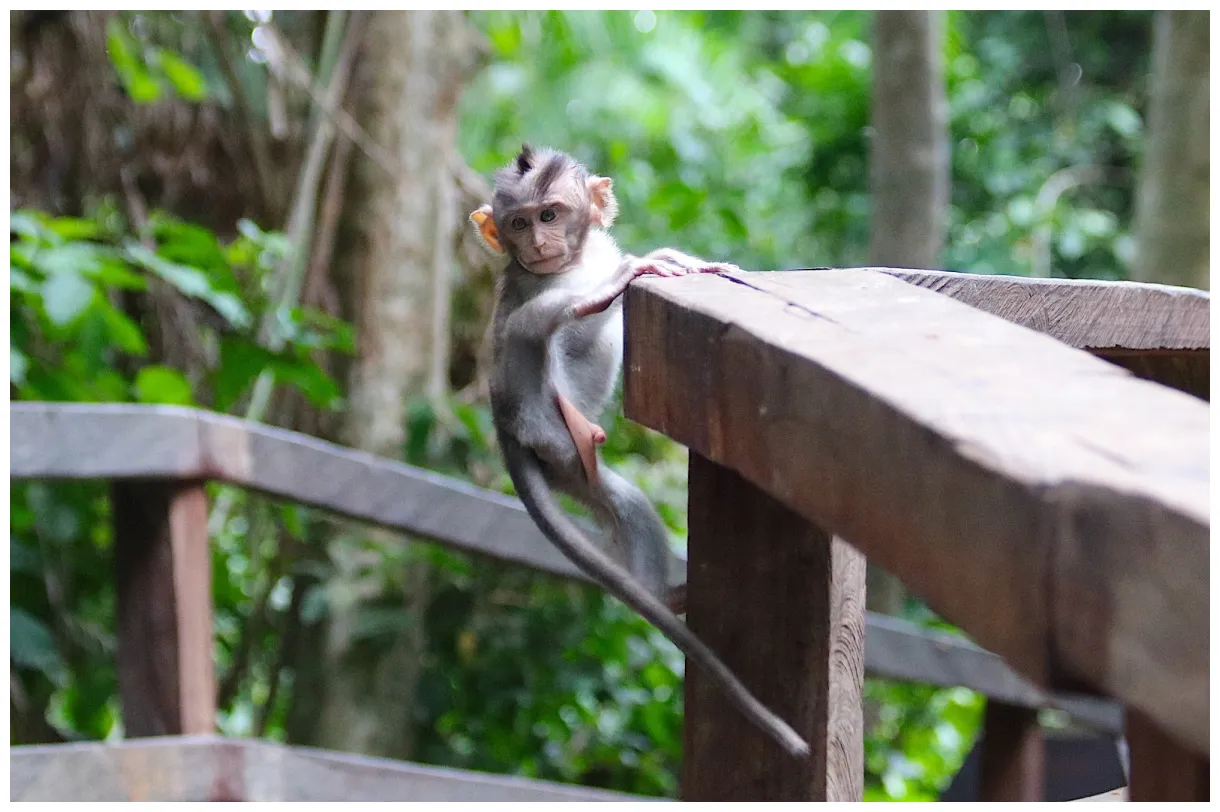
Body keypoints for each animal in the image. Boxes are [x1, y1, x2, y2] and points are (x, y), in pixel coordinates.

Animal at [470, 144, 810, 758]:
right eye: (518, 223)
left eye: (550, 214)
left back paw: (666, 596)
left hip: (565, 466)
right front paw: (612, 285)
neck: (572, 266)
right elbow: (534, 323)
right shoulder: (528, 289)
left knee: (623, 505)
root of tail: (509, 432)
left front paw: (677, 259)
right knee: (529, 346)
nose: (538, 243)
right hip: (545, 431)